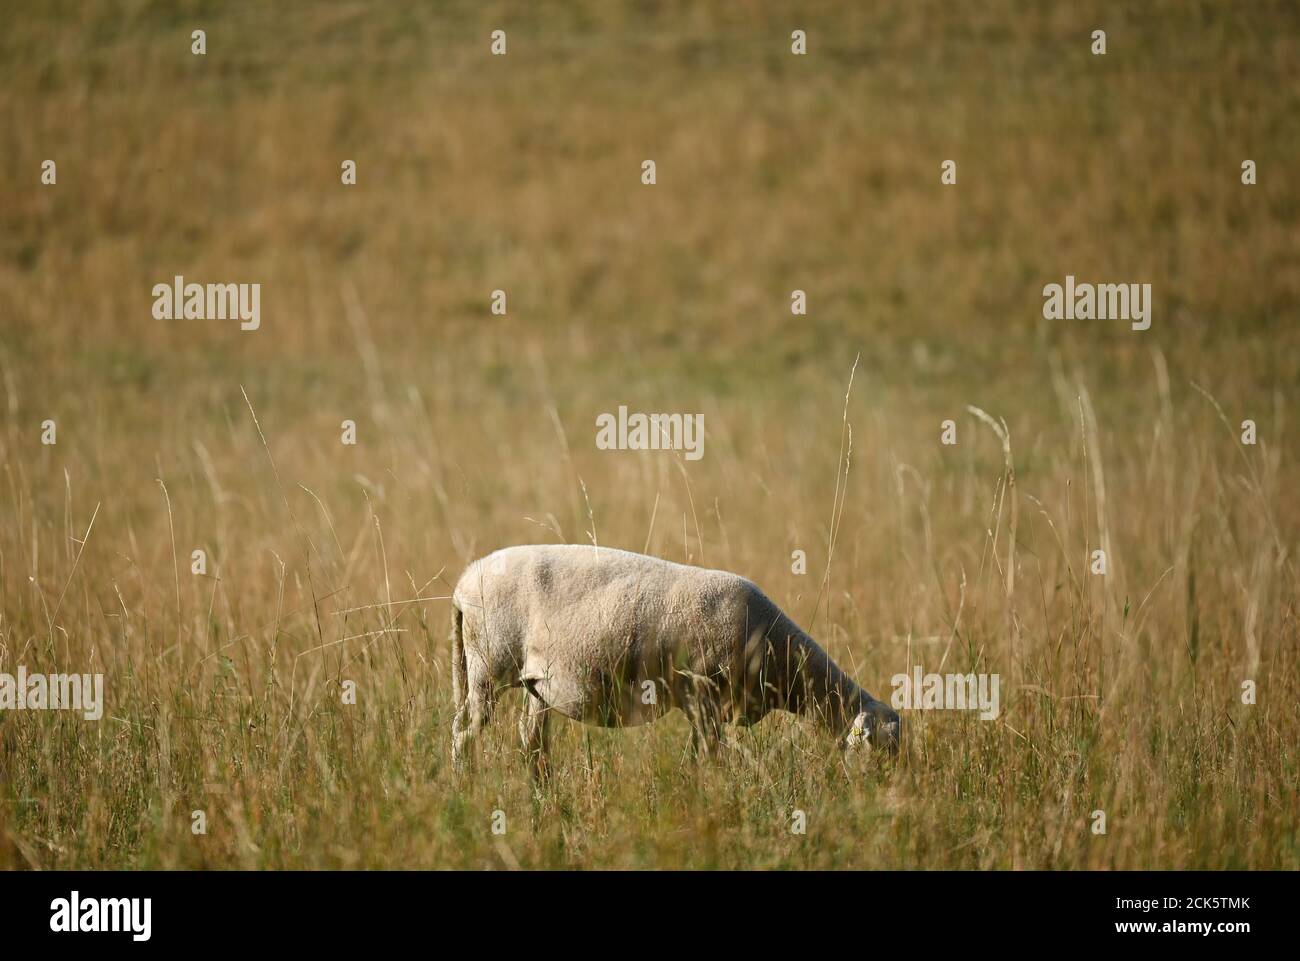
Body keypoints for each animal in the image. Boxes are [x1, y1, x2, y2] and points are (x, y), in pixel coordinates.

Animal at [449, 544, 901, 781]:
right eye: (880, 747)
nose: (889, 794)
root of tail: (464, 581)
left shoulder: (702, 704)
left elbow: (701, 754)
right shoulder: (702, 693)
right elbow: (710, 755)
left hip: (535, 683)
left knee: (531, 741)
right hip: (487, 666)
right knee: (464, 732)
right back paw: (463, 784)